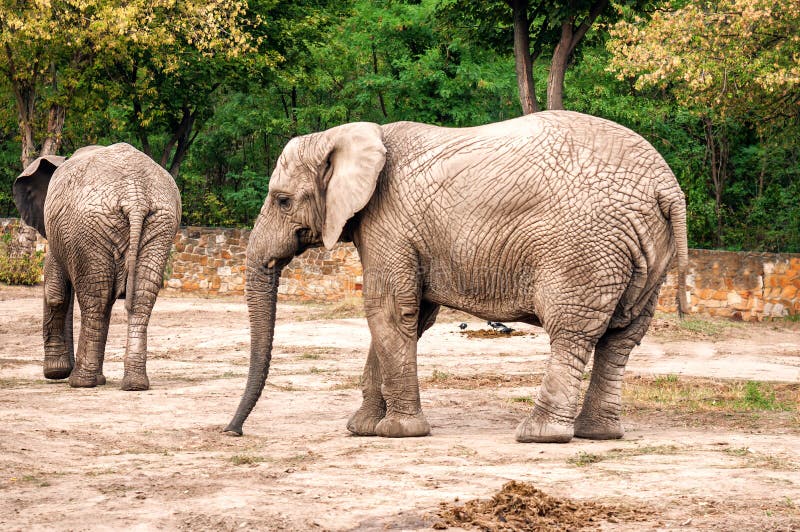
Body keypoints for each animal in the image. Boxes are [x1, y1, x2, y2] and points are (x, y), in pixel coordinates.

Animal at [13, 143, 181, 391]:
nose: (65, 368)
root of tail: (135, 196)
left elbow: (55, 294)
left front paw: (55, 373)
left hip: (89, 230)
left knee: (96, 301)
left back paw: (81, 382)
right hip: (160, 223)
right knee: (139, 299)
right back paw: (134, 385)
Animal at [224, 110, 689, 442]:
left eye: (282, 201)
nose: (233, 432)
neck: (348, 135)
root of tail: (666, 188)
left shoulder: (389, 223)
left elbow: (388, 311)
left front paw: (397, 433)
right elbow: (410, 317)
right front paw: (362, 428)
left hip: (584, 248)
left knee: (572, 333)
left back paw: (538, 436)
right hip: (647, 251)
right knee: (622, 338)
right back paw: (598, 434)